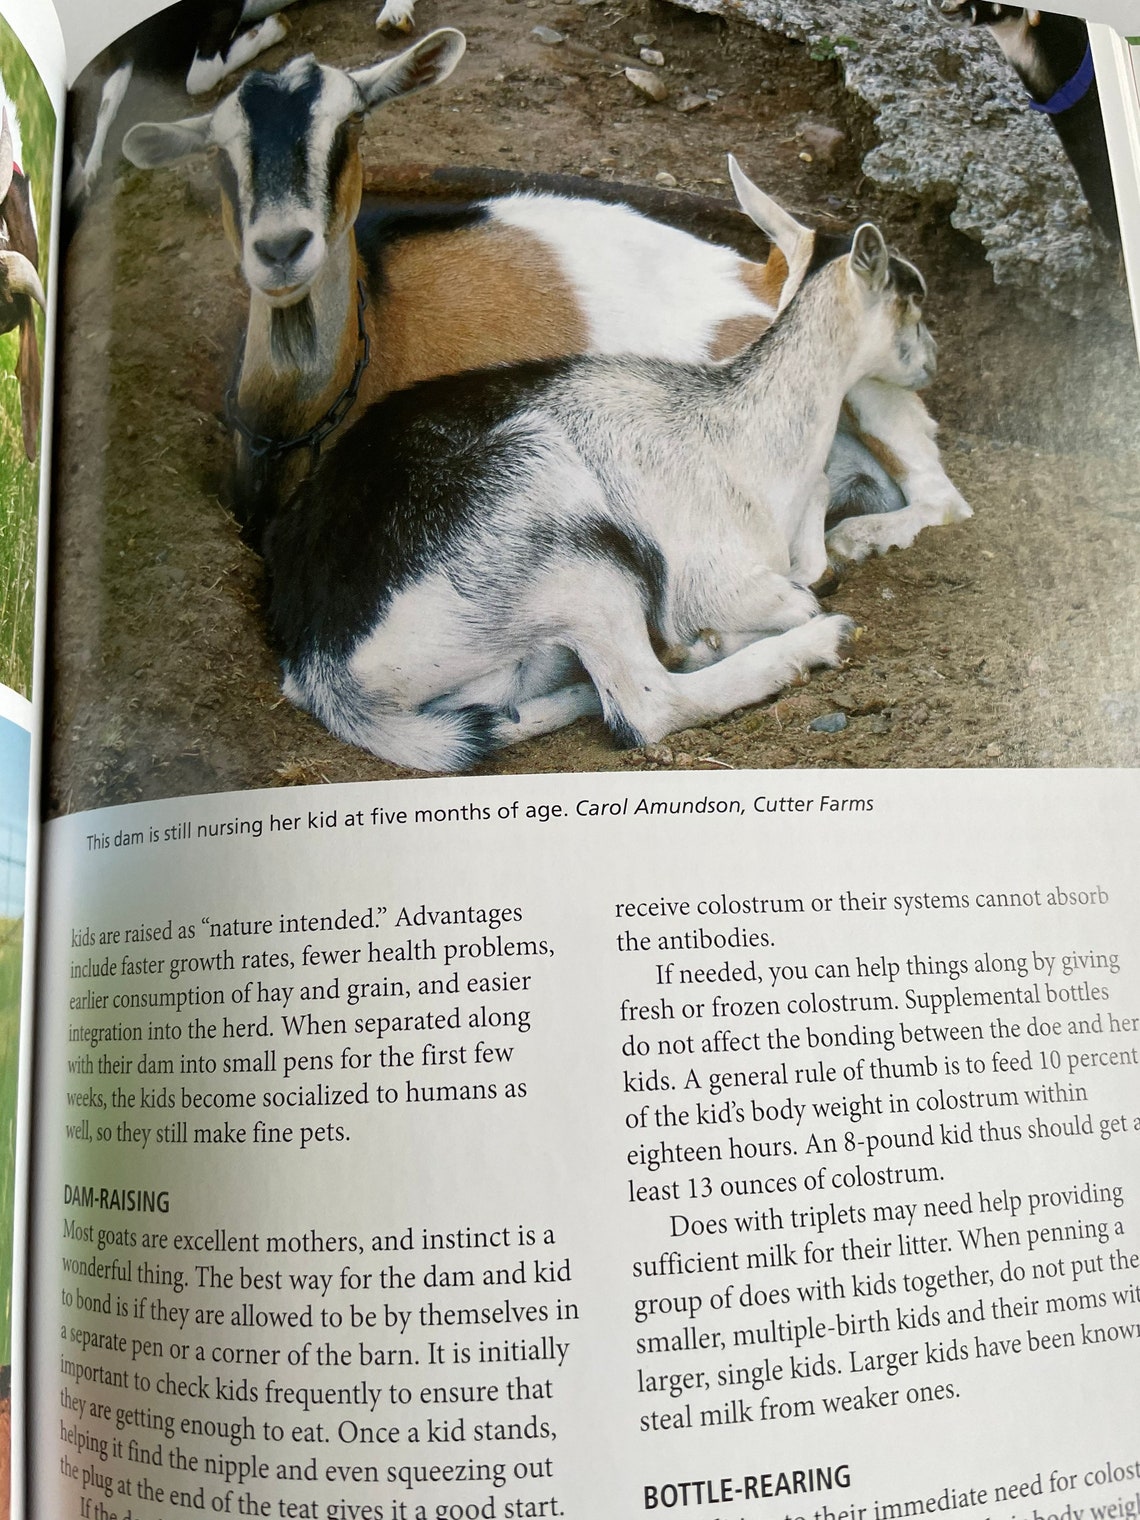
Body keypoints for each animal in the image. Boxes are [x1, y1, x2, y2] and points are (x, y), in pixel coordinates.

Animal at [122, 32, 969, 562]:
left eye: (348, 129)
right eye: (220, 154)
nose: (282, 247)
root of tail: (765, 275)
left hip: (877, 385)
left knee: (941, 495)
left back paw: (864, 535)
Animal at [260, 225, 935, 772]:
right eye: (914, 300)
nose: (931, 361)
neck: (744, 431)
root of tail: (321, 667)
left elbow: (814, 565)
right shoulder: (713, 576)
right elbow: (799, 598)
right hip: (572, 544)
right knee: (646, 705)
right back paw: (804, 647)